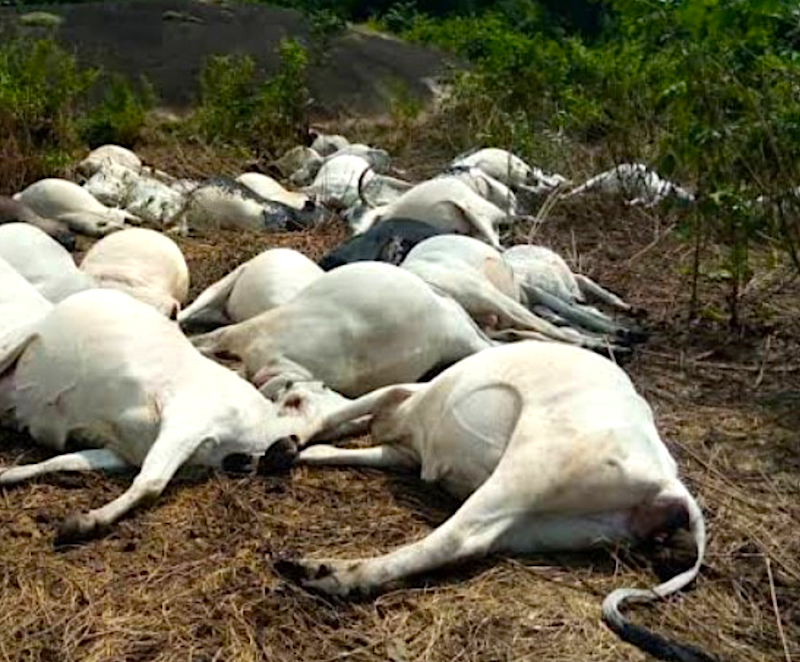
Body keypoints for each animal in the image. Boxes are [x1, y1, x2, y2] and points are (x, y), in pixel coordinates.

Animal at [0, 289, 300, 541]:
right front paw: (87, 522)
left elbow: (63, 461)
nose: (288, 447)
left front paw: (9, 474)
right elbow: (151, 483)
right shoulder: (187, 421)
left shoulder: (124, 451)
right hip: (19, 343)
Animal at [277, 341, 709, 662]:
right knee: (474, 542)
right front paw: (297, 451)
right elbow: (341, 446)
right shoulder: (403, 452)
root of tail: (669, 482)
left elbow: (339, 415)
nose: (284, 386)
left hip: (529, 466)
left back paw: (331, 573)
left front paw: (287, 445)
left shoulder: (401, 393)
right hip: (541, 524)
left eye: (291, 396)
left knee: (452, 538)